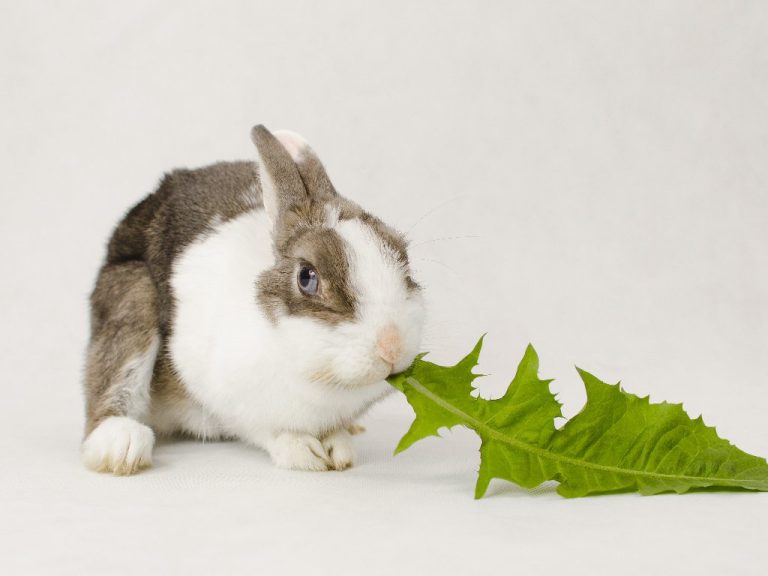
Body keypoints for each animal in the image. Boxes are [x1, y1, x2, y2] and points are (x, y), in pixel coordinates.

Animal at [81, 125, 425, 474]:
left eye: (404, 258)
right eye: (307, 277)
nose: (392, 346)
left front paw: (339, 446)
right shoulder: (230, 398)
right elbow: (267, 431)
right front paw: (304, 453)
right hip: (134, 298)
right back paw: (121, 446)